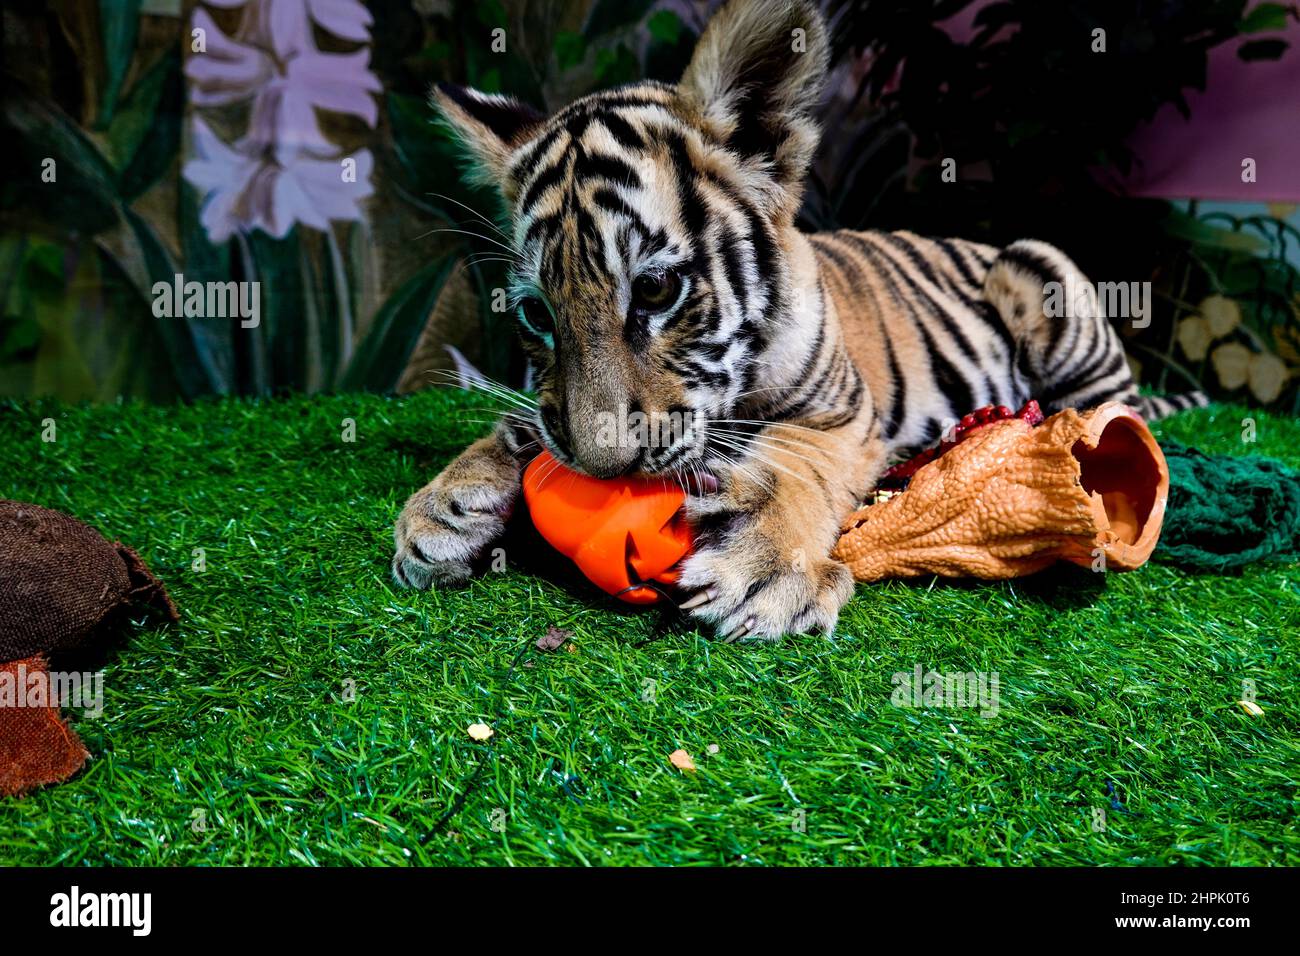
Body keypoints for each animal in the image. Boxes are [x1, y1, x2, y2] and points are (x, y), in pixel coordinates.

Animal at [392, 0, 1204, 640]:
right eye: (536, 312)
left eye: (655, 290)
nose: (602, 471)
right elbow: (525, 419)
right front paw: (443, 507)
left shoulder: (843, 413)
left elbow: (795, 461)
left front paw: (763, 565)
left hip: (1037, 271)